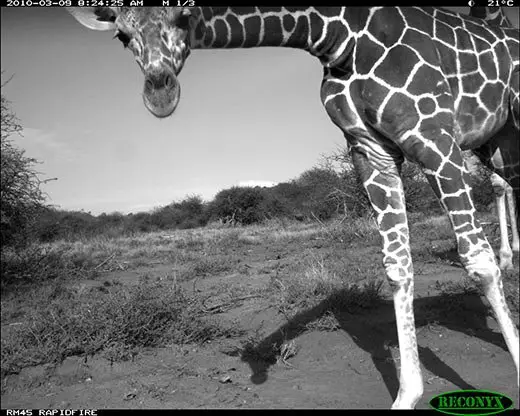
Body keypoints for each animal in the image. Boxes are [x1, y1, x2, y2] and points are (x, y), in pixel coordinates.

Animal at [67, 7, 516, 410]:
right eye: (122, 36)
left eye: (183, 16)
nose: (160, 94)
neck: (338, 35)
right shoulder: (371, 150)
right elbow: (397, 266)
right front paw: (407, 395)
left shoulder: (433, 135)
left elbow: (479, 262)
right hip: (493, 141)